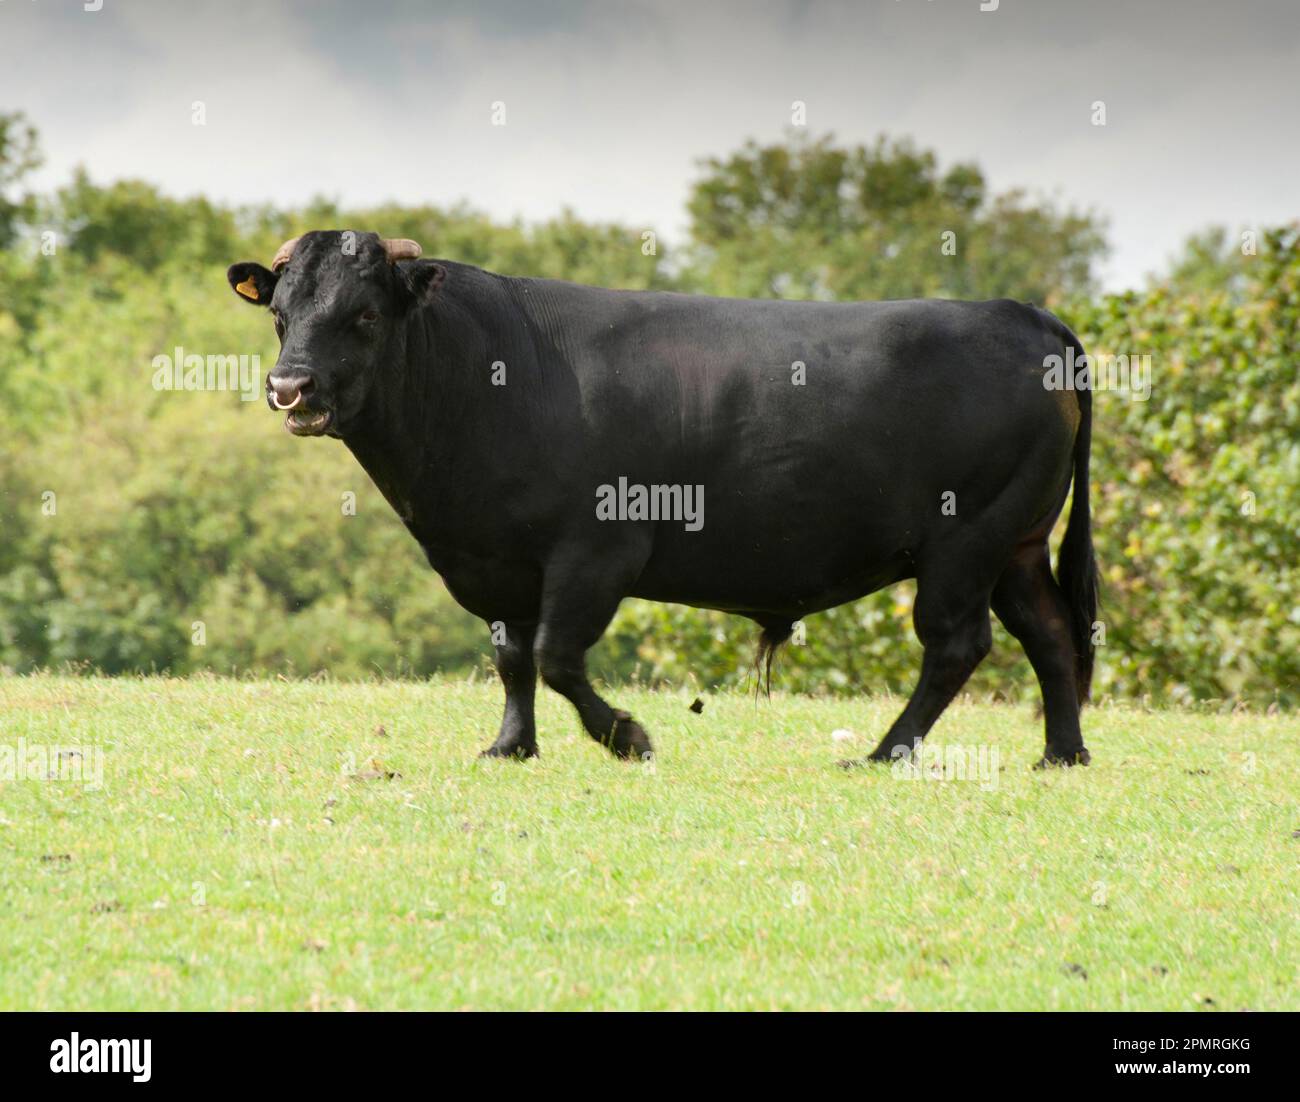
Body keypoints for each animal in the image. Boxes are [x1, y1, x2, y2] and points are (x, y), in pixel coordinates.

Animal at [227, 230, 1097, 768]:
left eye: (365, 314)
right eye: (280, 316)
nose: (289, 387)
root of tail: (1023, 313)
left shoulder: (598, 547)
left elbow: (555, 653)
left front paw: (626, 736)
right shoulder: (490, 560)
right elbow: (512, 656)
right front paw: (511, 746)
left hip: (965, 542)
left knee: (956, 645)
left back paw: (886, 752)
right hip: (1017, 545)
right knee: (1052, 634)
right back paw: (1061, 753)